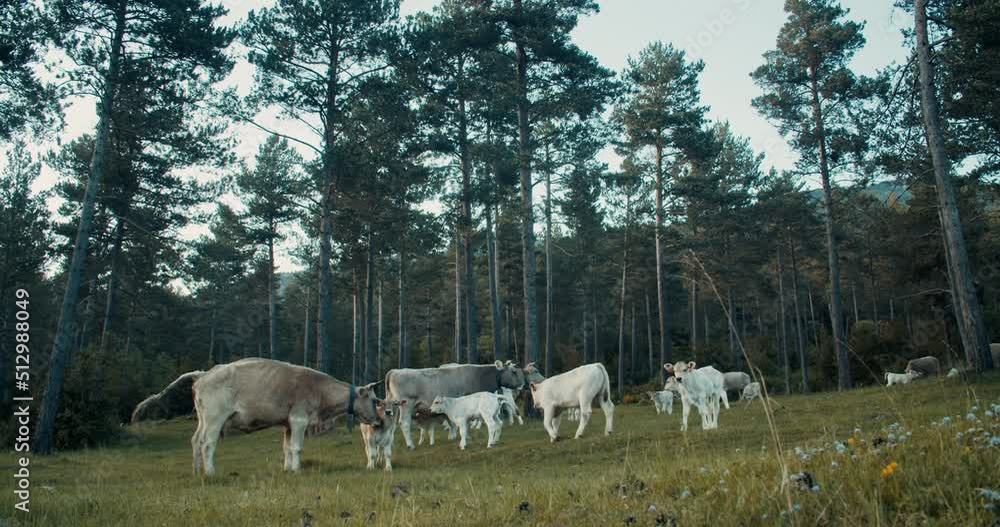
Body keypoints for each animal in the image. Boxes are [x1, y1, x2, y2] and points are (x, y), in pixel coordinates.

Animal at [132, 358, 381, 476]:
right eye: (375, 400)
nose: (378, 421)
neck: (320, 390)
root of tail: (205, 373)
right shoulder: (299, 419)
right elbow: (297, 447)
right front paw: (297, 470)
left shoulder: (287, 423)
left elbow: (286, 447)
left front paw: (287, 469)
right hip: (215, 418)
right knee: (207, 443)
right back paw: (210, 472)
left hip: (203, 419)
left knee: (194, 441)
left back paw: (196, 471)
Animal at [385, 361, 527, 449]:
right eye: (514, 371)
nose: (523, 385)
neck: (480, 375)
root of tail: (394, 371)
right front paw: (466, 437)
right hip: (406, 404)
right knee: (404, 423)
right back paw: (410, 445)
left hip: (393, 406)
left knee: (391, 425)